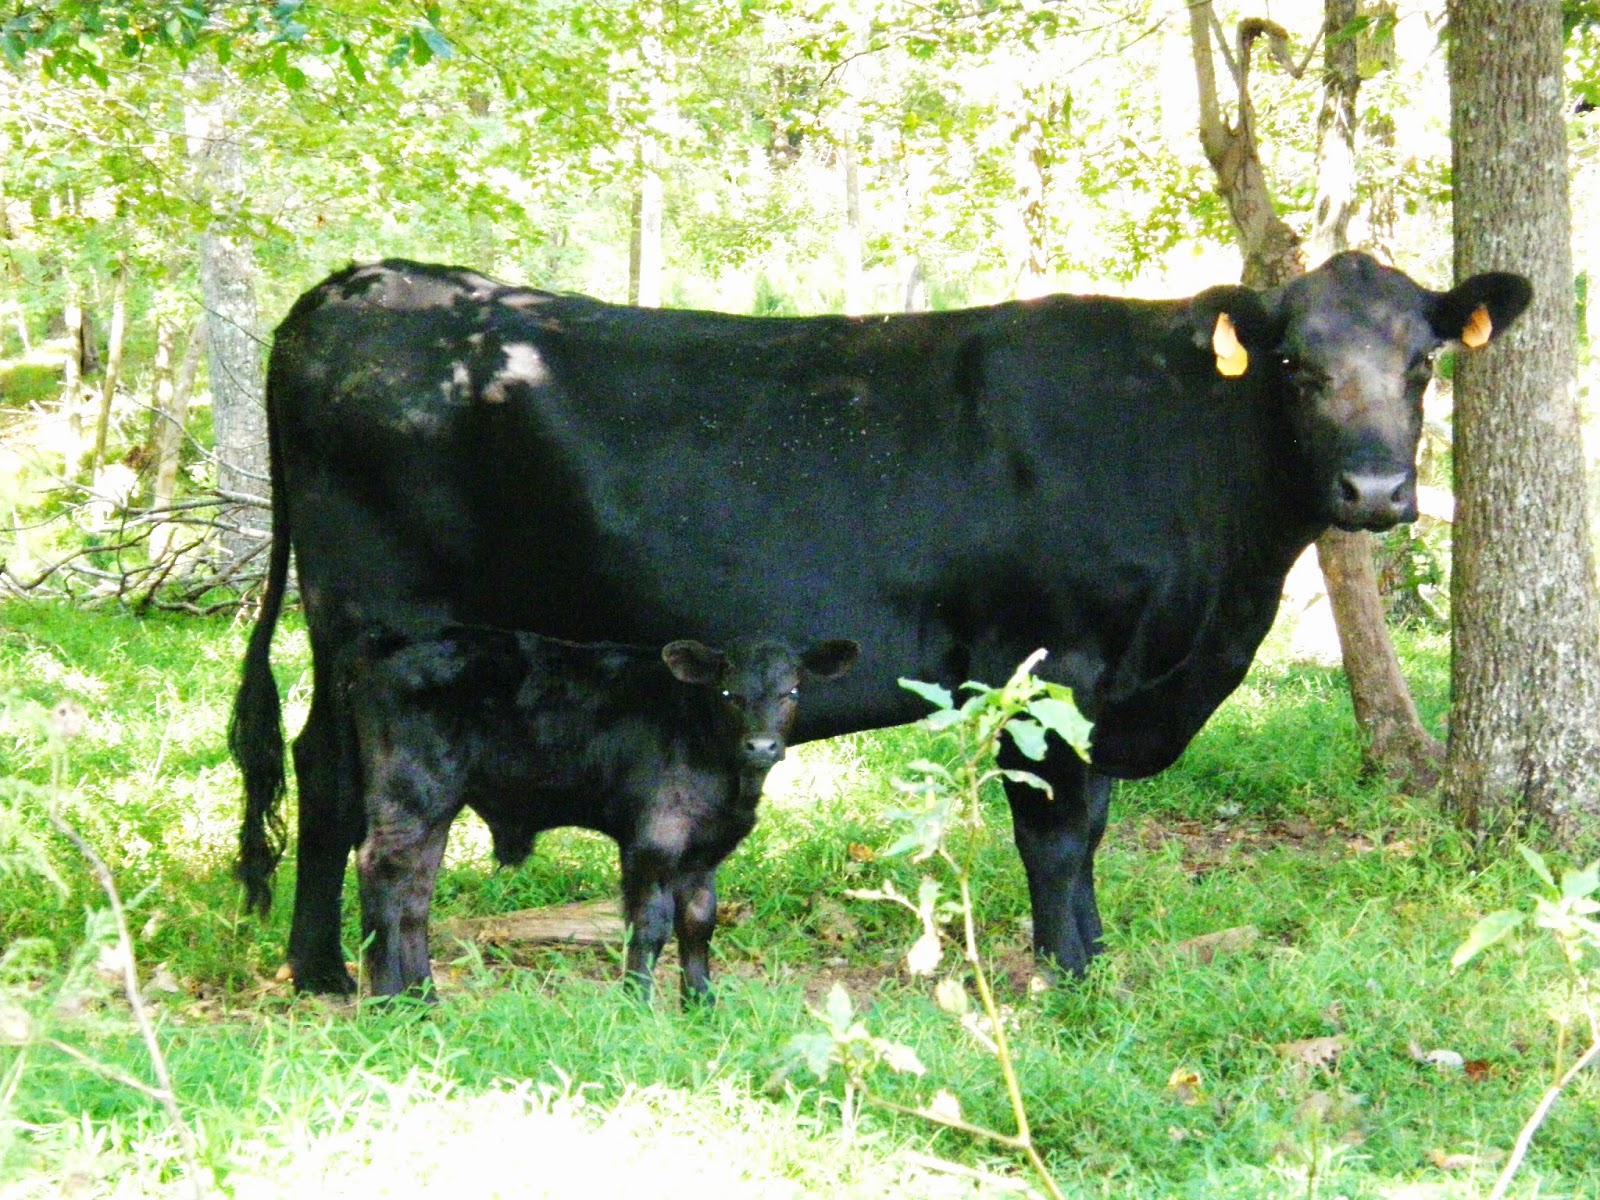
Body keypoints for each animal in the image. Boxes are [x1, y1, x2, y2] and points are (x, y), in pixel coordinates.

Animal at [344, 625, 859, 999]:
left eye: (793, 691)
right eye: (728, 693)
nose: (762, 746)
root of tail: (386, 645)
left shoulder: (703, 852)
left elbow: (699, 924)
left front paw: (701, 1007)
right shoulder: (652, 841)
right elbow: (649, 926)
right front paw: (638, 1006)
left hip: (433, 809)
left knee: (414, 895)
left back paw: (423, 1000)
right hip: (410, 792)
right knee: (381, 872)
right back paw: (388, 999)